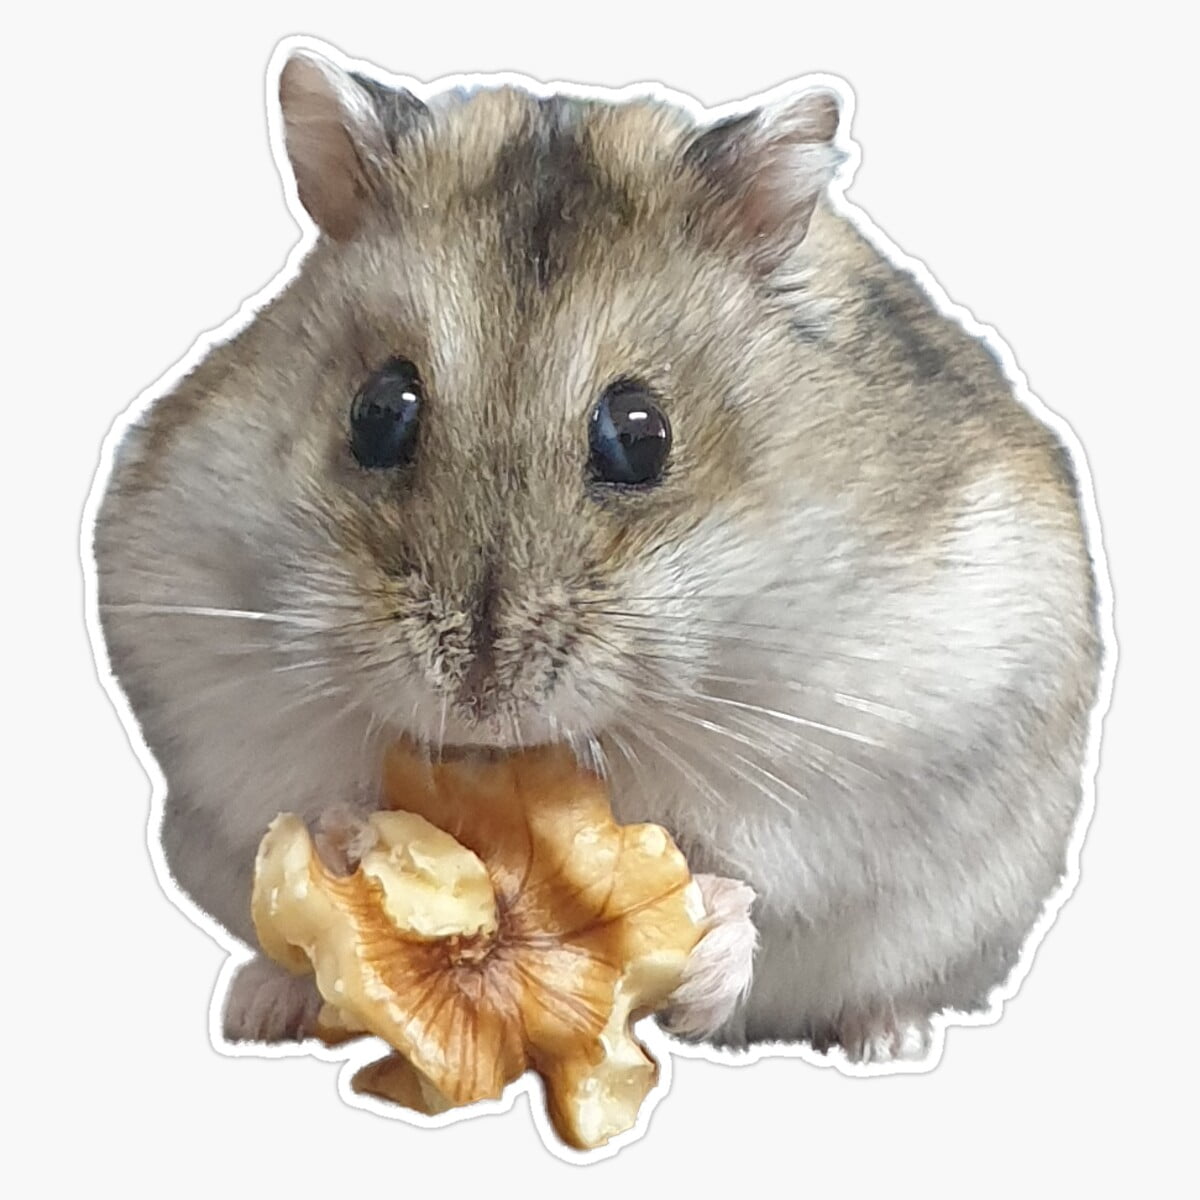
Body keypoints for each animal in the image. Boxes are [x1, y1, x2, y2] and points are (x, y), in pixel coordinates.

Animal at [92, 50, 1103, 1062]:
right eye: (379, 412)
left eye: (639, 435)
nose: (481, 698)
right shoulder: (206, 670)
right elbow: (298, 797)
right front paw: (351, 843)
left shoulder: (884, 725)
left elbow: (766, 874)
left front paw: (707, 942)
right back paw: (259, 1010)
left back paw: (890, 1040)